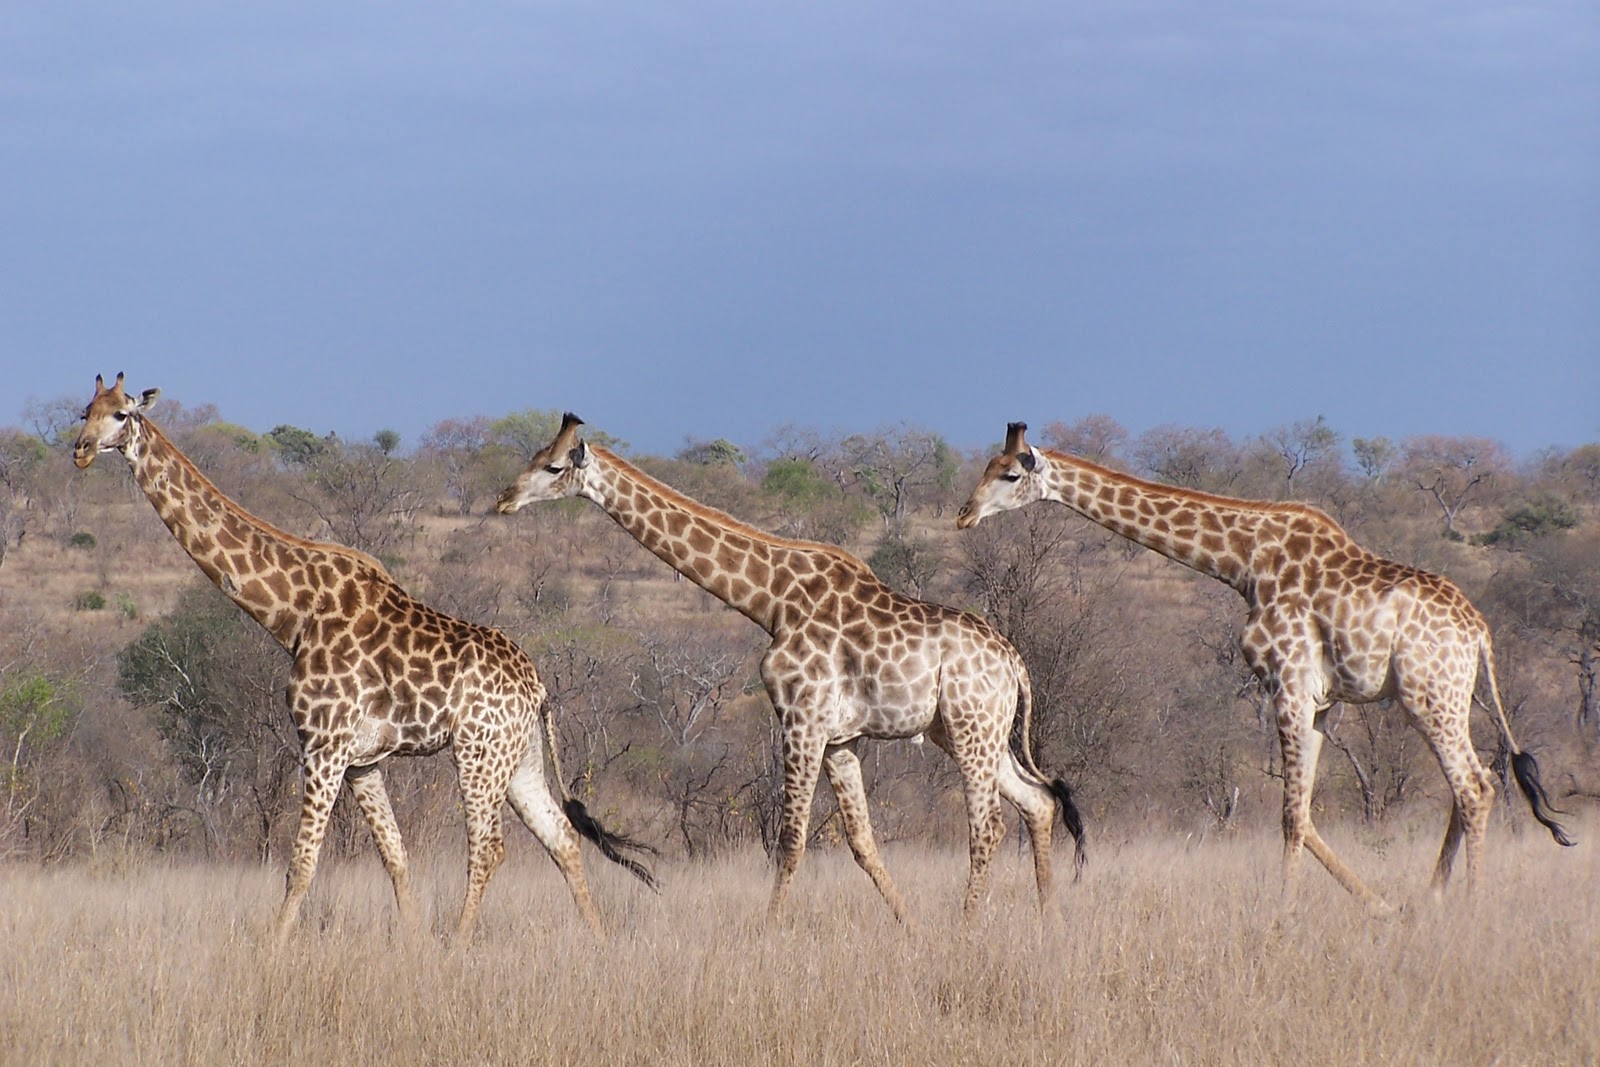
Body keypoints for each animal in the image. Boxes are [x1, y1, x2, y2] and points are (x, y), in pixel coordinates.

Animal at [73, 374, 655, 942]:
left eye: (121, 413)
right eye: (84, 411)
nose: (80, 450)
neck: (293, 614)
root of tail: (537, 687)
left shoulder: (323, 746)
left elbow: (301, 864)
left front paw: (272, 951)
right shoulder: (362, 761)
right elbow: (395, 858)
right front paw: (413, 945)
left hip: (478, 753)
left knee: (490, 850)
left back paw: (459, 947)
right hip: (518, 755)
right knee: (561, 836)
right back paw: (597, 942)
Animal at [496, 414, 1086, 921]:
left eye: (553, 466)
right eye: (534, 456)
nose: (504, 498)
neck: (772, 600)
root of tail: (1014, 662)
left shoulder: (801, 720)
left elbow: (791, 839)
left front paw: (768, 933)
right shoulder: (841, 737)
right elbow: (862, 842)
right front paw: (911, 926)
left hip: (970, 727)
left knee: (987, 827)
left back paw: (969, 927)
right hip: (971, 731)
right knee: (1037, 803)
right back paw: (1050, 920)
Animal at [957, 421, 1573, 914]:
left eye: (1009, 475)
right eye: (985, 467)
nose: (964, 515)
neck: (1243, 563)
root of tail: (1480, 633)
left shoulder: (1288, 685)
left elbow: (1290, 815)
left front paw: (1282, 915)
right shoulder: (1318, 702)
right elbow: (1306, 814)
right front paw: (1379, 905)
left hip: (1430, 696)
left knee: (1475, 785)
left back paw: (1469, 905)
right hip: (1443, 697)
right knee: (1474, 782)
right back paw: (1431, 897)